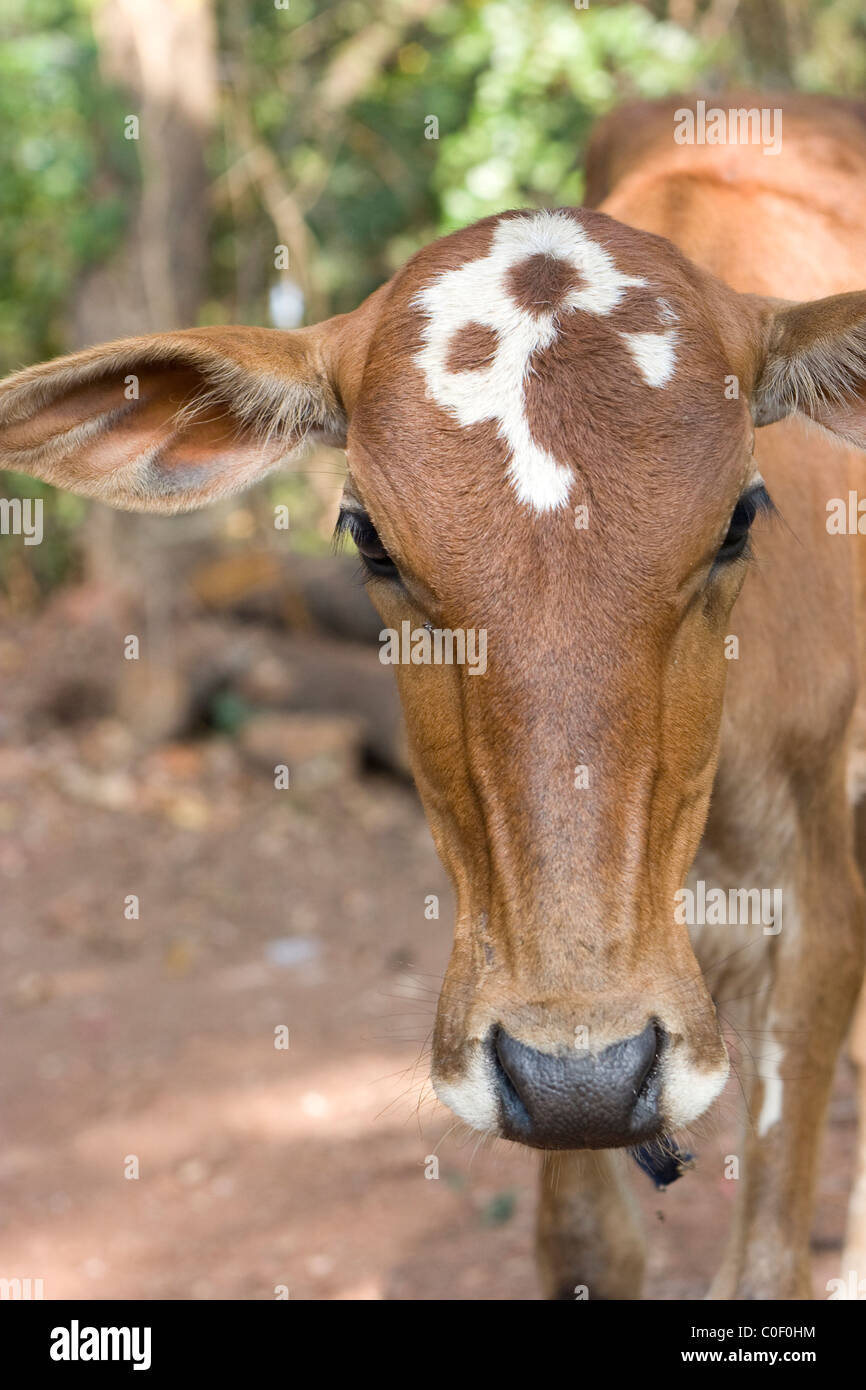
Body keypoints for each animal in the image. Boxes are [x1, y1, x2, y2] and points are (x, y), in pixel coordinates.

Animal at [2, 92, 866, 1300]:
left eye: (741, 516)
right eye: (368, 536)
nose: (588, 1075)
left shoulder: (812, 913)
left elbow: (770, 1259)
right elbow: (585, 1240)